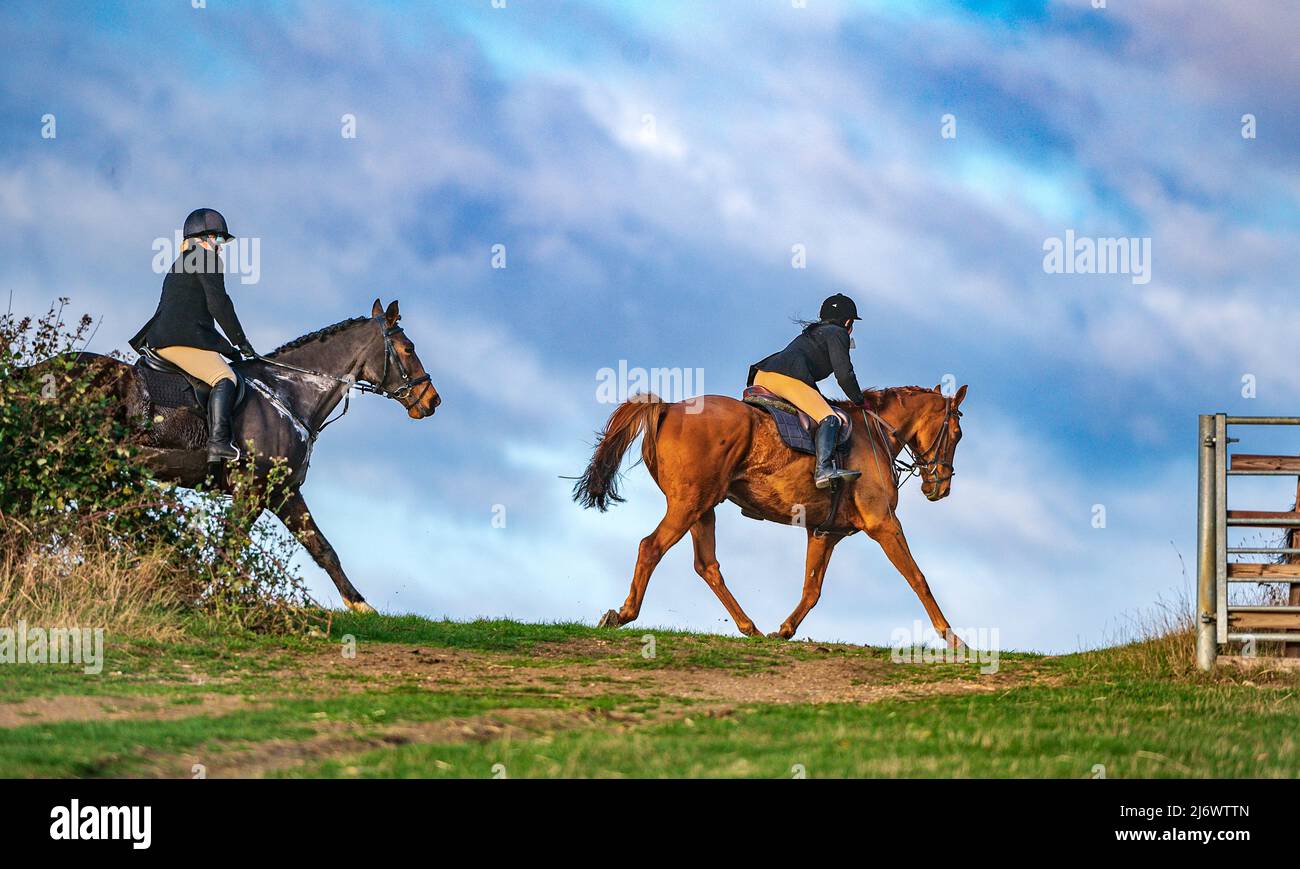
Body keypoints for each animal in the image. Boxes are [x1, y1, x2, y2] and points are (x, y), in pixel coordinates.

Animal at [77, 298, 439, 613]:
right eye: (409, 349)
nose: (433, 400)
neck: (288, 392)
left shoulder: (282, 492)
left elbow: (323, 549)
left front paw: (361, 605)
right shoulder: (252, 490)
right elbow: (228, 546)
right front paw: (197, 597)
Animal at [572, 384, 968, 646]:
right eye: (957, 433)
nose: (940, 488)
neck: (876, 434)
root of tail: (670, 407)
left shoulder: (825, 533)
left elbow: (812, 589)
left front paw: (785, 630)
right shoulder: (883, 523)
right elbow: (918, 578)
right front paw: (952, 638)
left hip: (702, 507)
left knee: (707, 565)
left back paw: (750, 627)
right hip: (687, 505)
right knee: (650, 547)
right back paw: (623, 614)